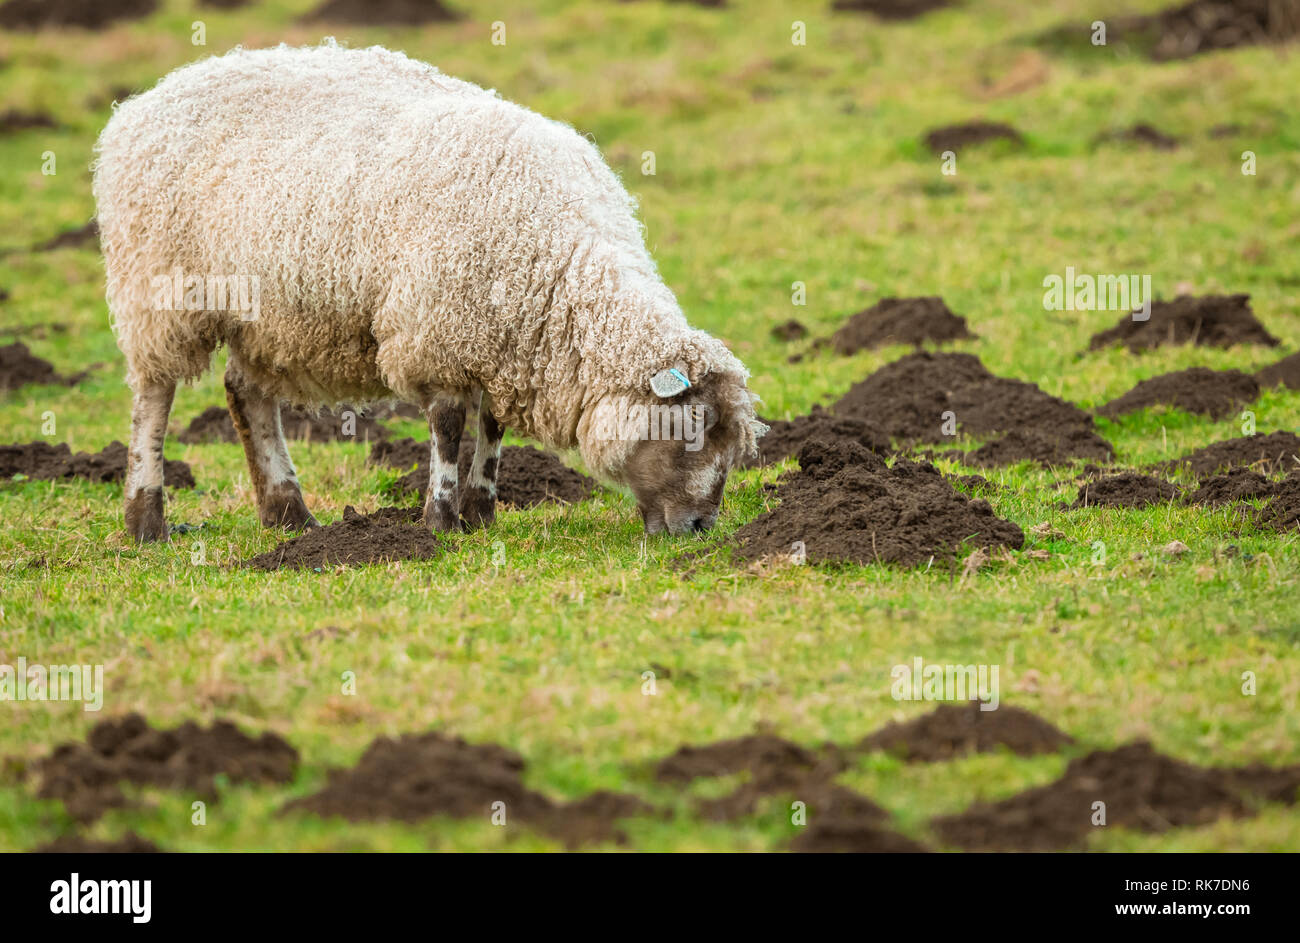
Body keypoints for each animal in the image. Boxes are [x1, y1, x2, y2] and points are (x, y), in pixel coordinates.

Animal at [93, 42, 765, 541]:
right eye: (689, 433)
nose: (699, 528)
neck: (557, 256)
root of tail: (145, 99)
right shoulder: (437, 330)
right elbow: (447, 424)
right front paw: (439, 519)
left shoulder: (501, 339)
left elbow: (491, 425)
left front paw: (481, 510)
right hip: (157, 292)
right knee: (153, 400)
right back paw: (147, 520)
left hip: (268, 314)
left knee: (246, 394)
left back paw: (288, 514)